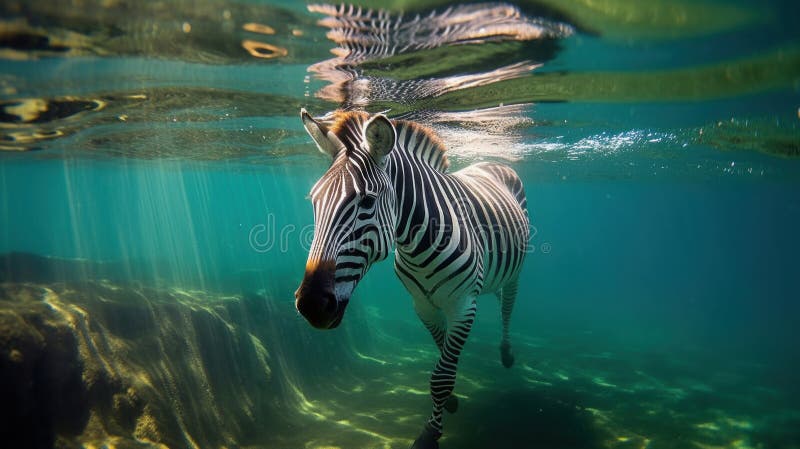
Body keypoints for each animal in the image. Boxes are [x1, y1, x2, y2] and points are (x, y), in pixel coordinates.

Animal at [294, 109, 530, 449]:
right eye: (314, 201)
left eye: (367, 202)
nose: (311, 304)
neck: (417, 244)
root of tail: (490, 162)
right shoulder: (423, 306)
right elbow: (443, 357)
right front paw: (451, 400)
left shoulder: (463, 305)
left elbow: (441, 377)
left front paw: (430, 433)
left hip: (516, 270)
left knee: (508, 304)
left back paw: (507, 352)